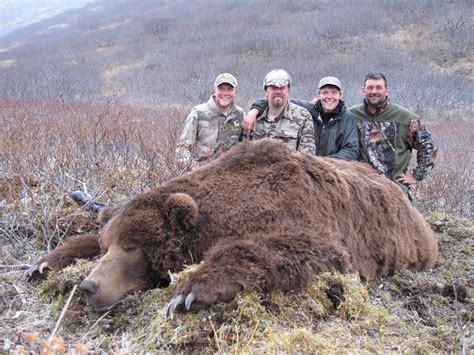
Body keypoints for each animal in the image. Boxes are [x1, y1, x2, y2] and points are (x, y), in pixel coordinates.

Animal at [27, 139, 438, 318]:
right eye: (112, 243)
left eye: (132, 247)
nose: (88, 286)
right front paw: (44, 263)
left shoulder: (297, 209)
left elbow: (301, 248)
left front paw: (192, 290)